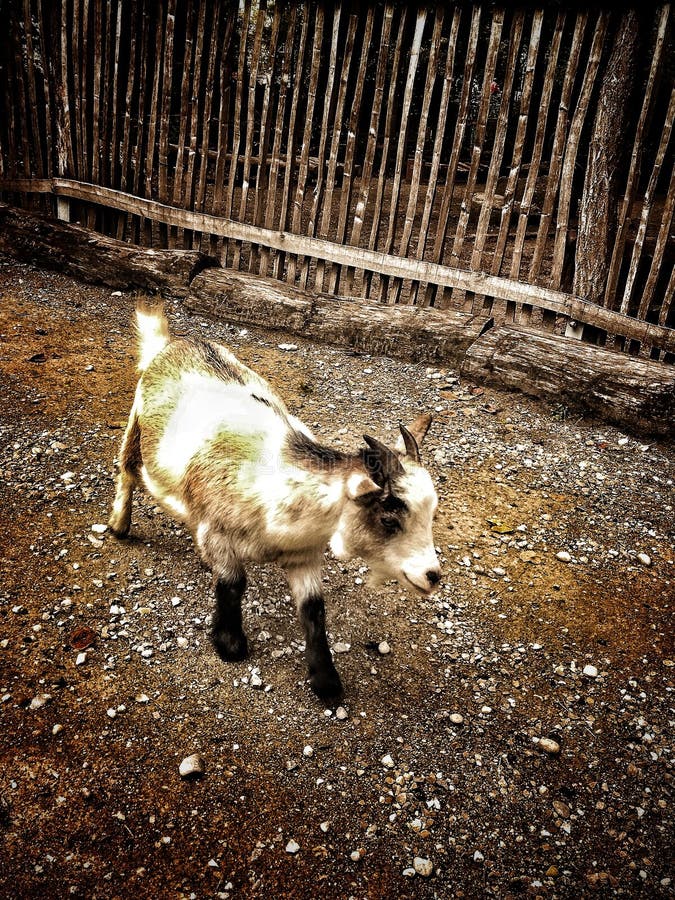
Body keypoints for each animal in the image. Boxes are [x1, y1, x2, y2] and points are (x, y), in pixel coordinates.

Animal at [109, 306, 441, 699]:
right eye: (389, 518)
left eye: (432, 515)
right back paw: (118, 525)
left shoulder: (303, 555)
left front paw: (326, 681)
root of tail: (173, 343)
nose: (433, 576)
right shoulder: (218, 531)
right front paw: (229, 644)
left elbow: (314, 609)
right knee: (127, 469)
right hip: (136, 422)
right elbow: (234, 582)